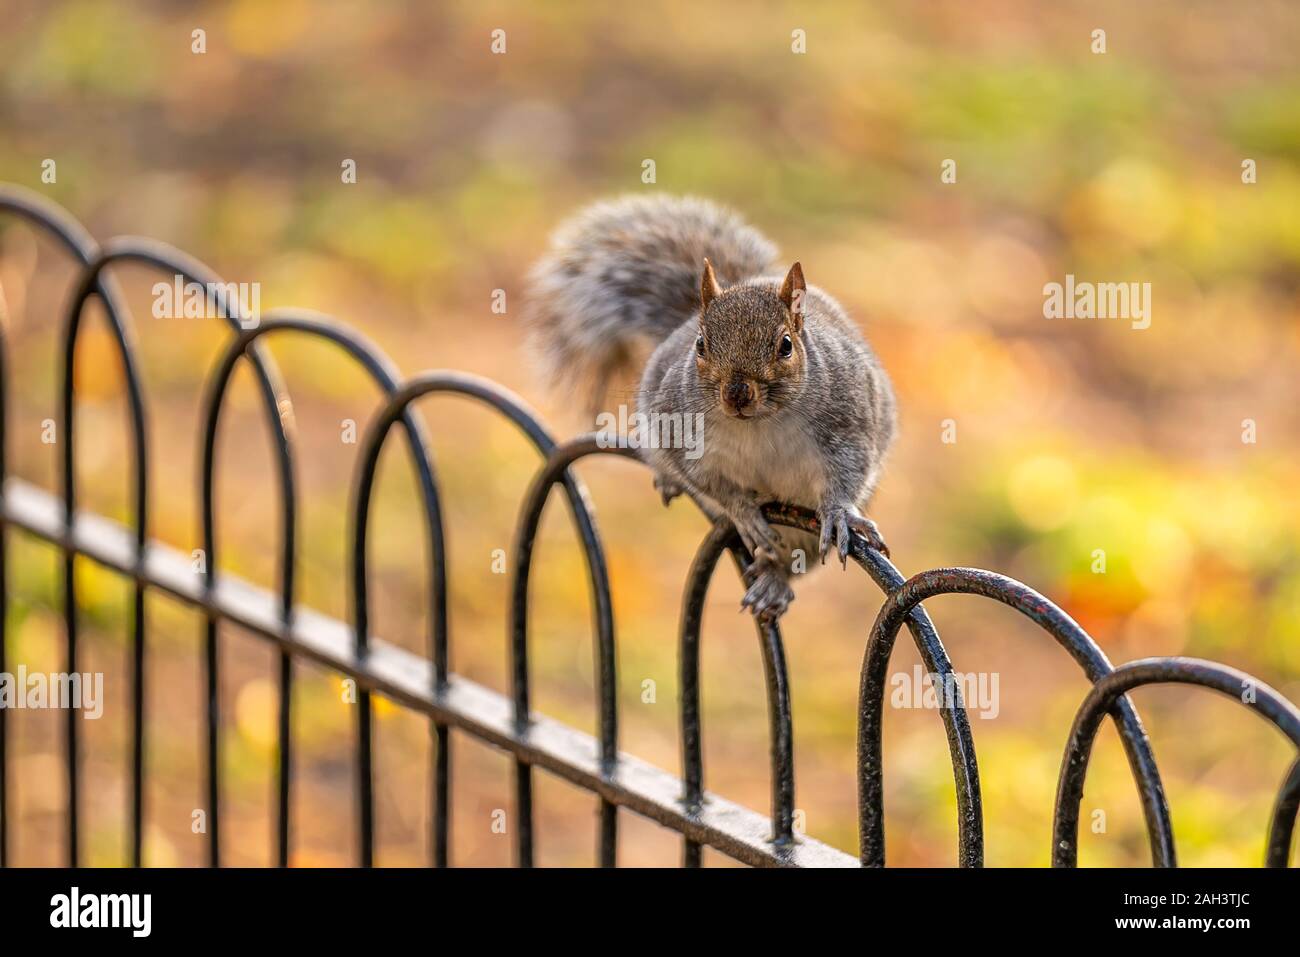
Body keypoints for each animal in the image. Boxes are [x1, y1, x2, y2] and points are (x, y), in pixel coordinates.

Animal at [524, 194, 897, 622]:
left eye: (786, 345)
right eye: (700, 344)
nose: (736, 394)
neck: (759, 424)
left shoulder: (848, 418)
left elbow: (847, 471)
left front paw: (838, 513)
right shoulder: (677, 430)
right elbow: (707, 481)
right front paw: (742, 510)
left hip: (800, 534)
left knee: (788, 561)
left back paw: (774, 582)